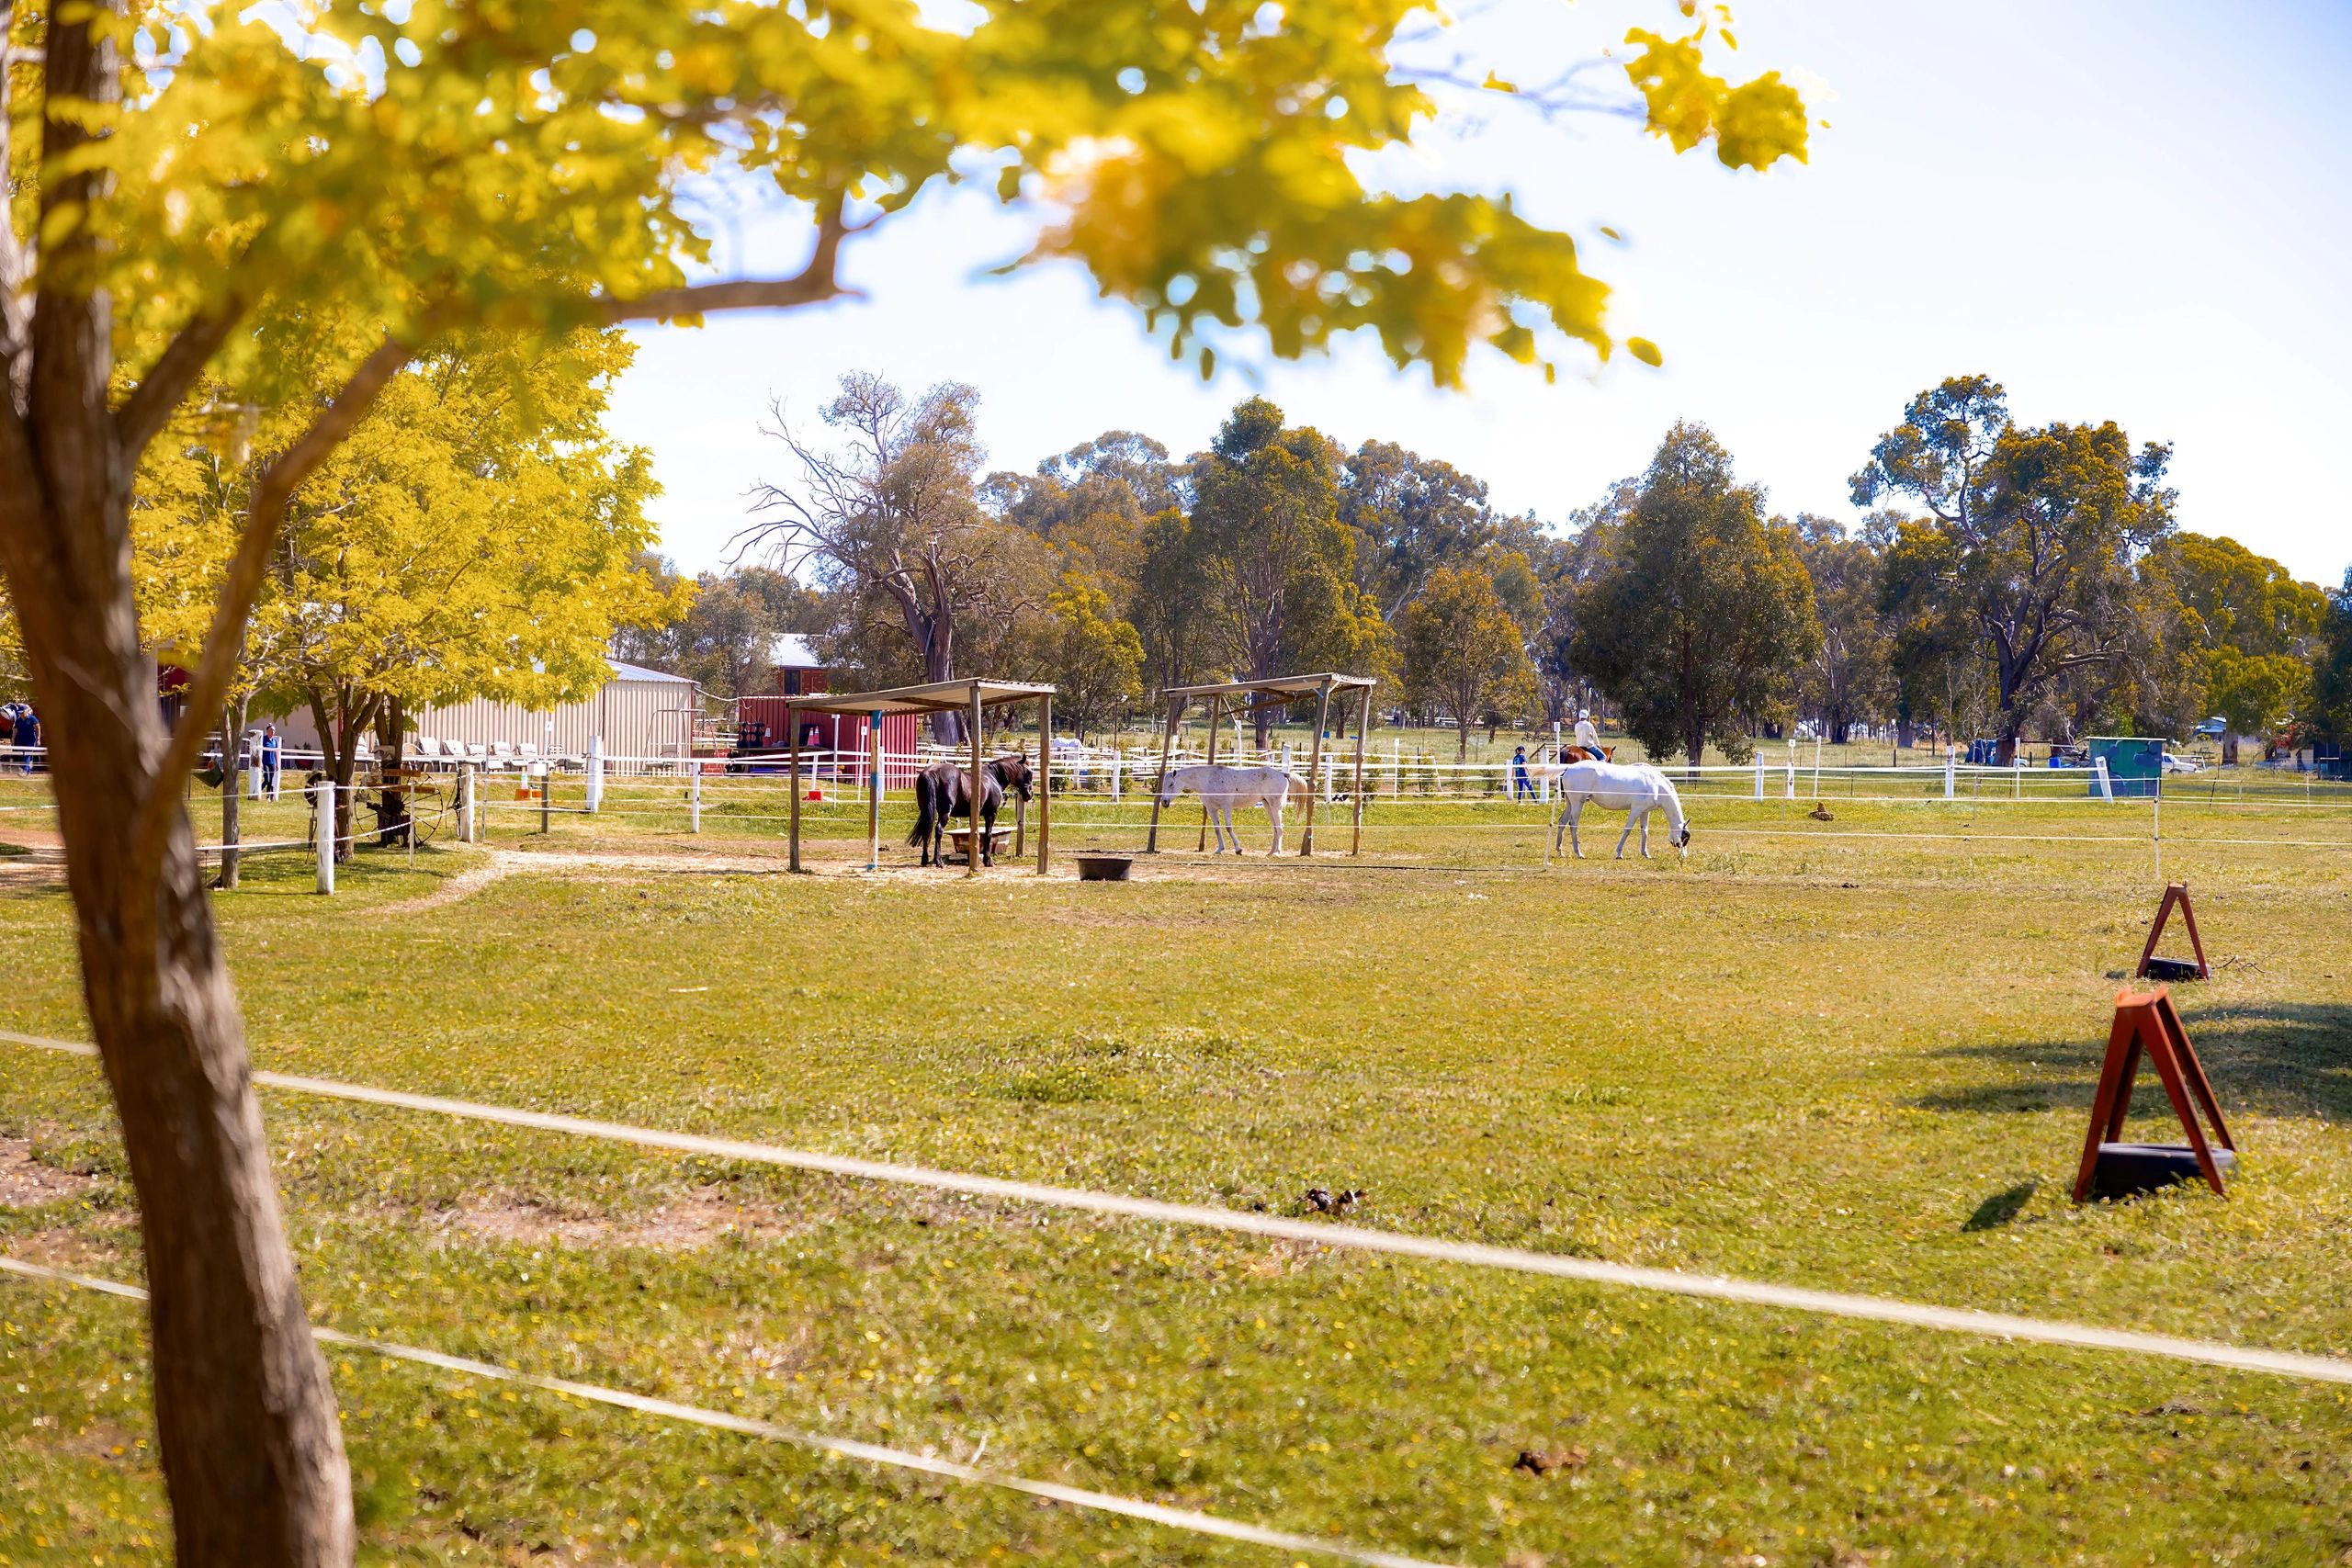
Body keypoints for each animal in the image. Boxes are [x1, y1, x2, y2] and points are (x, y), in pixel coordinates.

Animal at [908, 752, 1035, 867]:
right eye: (1029, 772)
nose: (1029, 795)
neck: (993, 777)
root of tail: (931, 772)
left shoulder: (973, 815)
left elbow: (973, 834)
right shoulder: (991, 813)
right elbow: (988, 834)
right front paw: (988, 861)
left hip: (926, 811)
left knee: (926, 830)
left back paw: (925, 860)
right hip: (945, 813)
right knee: (938, 830)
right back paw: (938, 861)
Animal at [1156, 763, 1310, 854]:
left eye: (1171, 784)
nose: (1164, 801)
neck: (1209, 779)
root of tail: (1283, 774)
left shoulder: (1226, 807)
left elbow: (1228, 827)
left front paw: (1238, 849)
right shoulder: (1212, 809)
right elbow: (1217, 829)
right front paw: (1220, 849)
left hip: (1275, 806)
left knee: (1280, 828)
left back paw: (1277, 852)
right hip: (1268, 806)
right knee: (1276, 829)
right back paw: (1271, 852)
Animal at [1545, 759, 1692, 859]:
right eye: (1684, 838)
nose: (1684, 856)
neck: (1656, 785)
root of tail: (1568, 768)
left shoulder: (1645, 812)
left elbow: (1644, 831)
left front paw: (1646, 854)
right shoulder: (1636, 810)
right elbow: (1627, 830)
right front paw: (1619, 853)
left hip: (1570, 804)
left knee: (1562, 822)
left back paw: (1560, 851)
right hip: (1577, 803)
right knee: (1573, 824)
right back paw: (1578, 853)